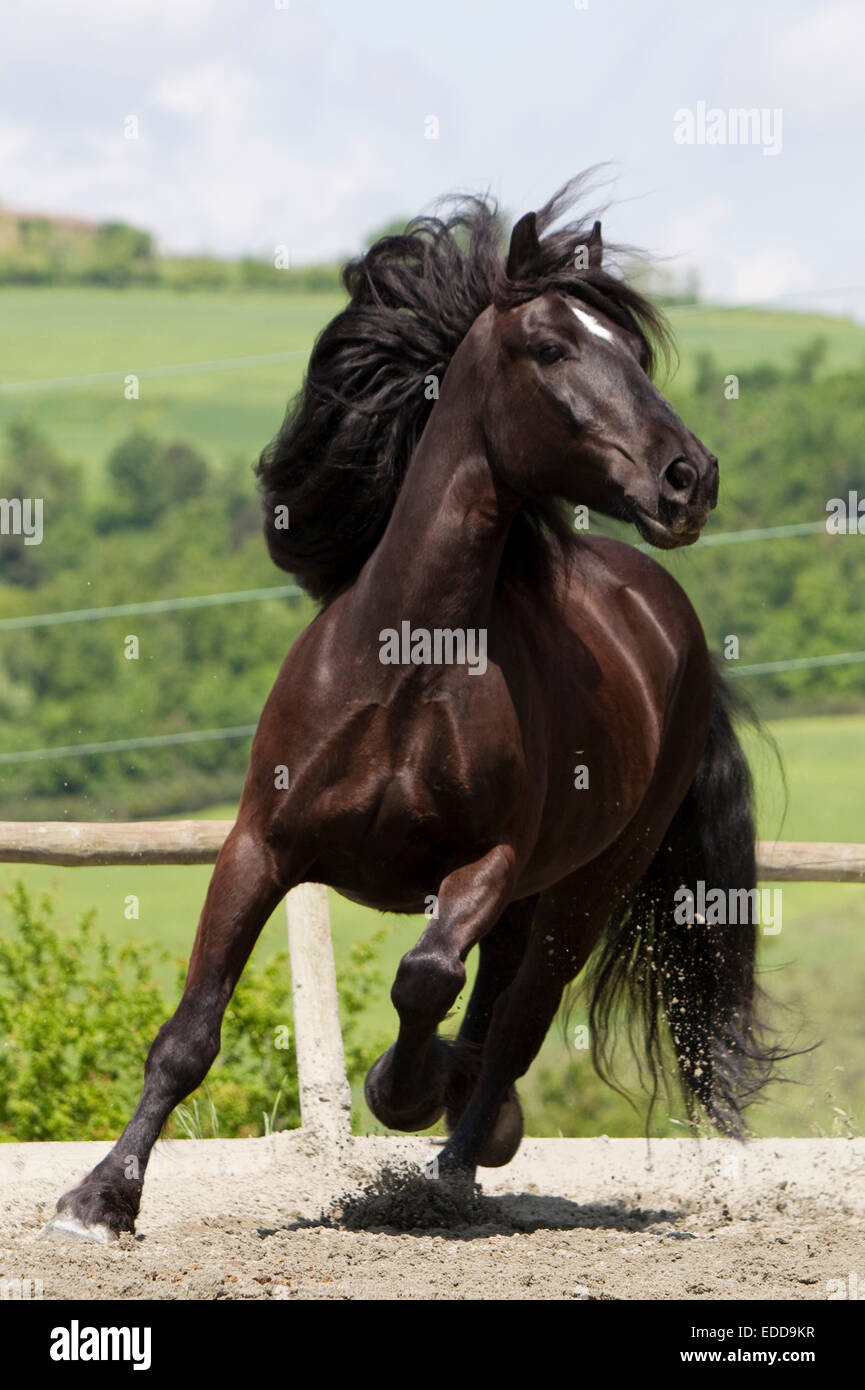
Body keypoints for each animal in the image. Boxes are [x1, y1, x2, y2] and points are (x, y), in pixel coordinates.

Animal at [48, 173, 783, 1241]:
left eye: (637, 354)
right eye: (550, 347)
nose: (690, 479)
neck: (403, 673)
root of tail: (668, 616)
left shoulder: (487, 862)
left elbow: (425, 977)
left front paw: (401, 1087)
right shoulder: (259, 845)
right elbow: (189, 1034)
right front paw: (99, 1199)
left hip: (586, 885)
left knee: (515, 1020)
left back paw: (456, 1160)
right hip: (537, 893)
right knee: (497, 1009)